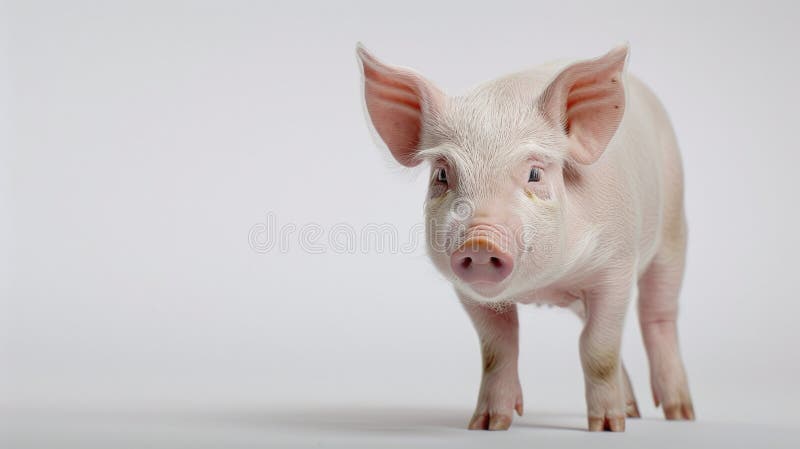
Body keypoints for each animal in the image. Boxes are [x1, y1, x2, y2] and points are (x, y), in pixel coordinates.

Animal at [356, 43, 694, 432]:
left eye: (534, 173)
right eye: (442, 174)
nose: (480, 241)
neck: (544, 286)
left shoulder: (616, 265)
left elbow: (598, 348)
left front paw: (608, 428)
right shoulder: (470, 293)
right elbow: (497, 348)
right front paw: (488, 425)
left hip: (673, 227)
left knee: (659, 315)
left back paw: (680, 414)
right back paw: (633, 409)